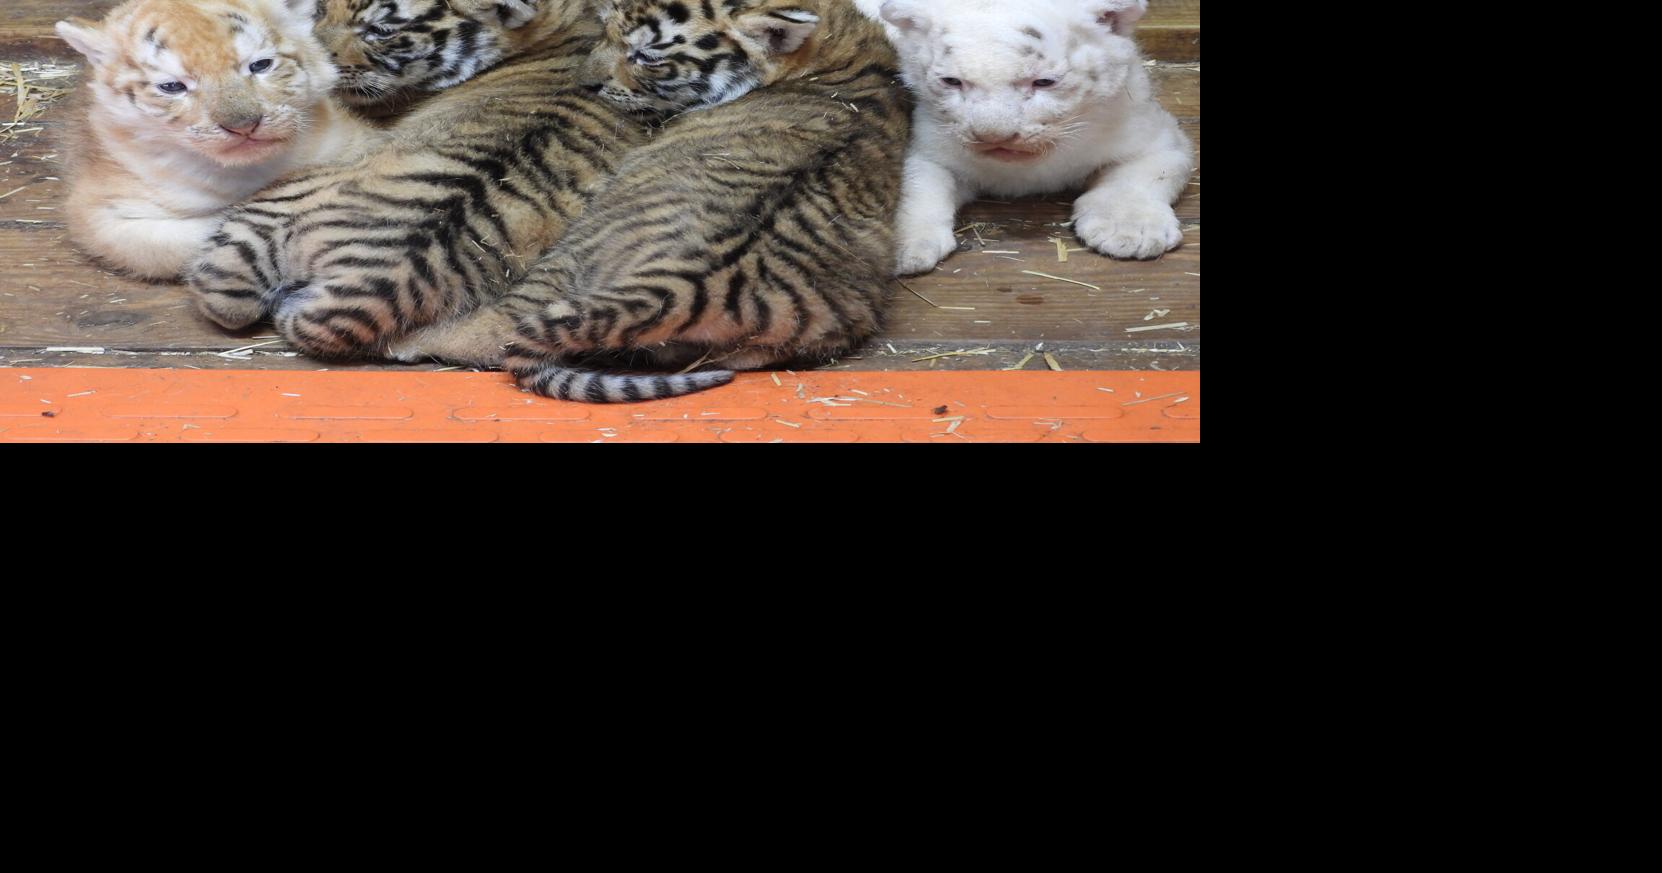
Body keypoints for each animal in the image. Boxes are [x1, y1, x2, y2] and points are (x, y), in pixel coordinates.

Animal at [387, 0, 913, 402]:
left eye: (644, 56)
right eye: (607, 26)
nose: (586, 80)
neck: (837, 42)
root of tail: (680, 286)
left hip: (566, 255)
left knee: (491, 335)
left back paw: (411, 342)